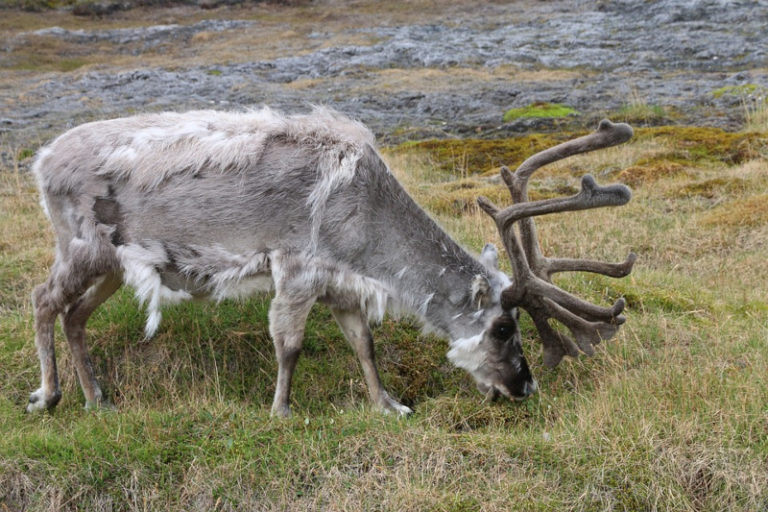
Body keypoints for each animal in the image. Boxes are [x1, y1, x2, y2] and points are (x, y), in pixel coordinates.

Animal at [27, 106, 635, 417]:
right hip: (81, 247)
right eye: (504, 328)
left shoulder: (342, 282)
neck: (366, 232)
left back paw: (97, 399)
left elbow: (363, 345)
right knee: (41, 300)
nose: (524, 387)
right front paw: (281, 412)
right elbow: (289, 345)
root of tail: (40, 160)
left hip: (111, 265)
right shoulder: (296, 268)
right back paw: (49, 396)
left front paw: (389, 405)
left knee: (74, 316)